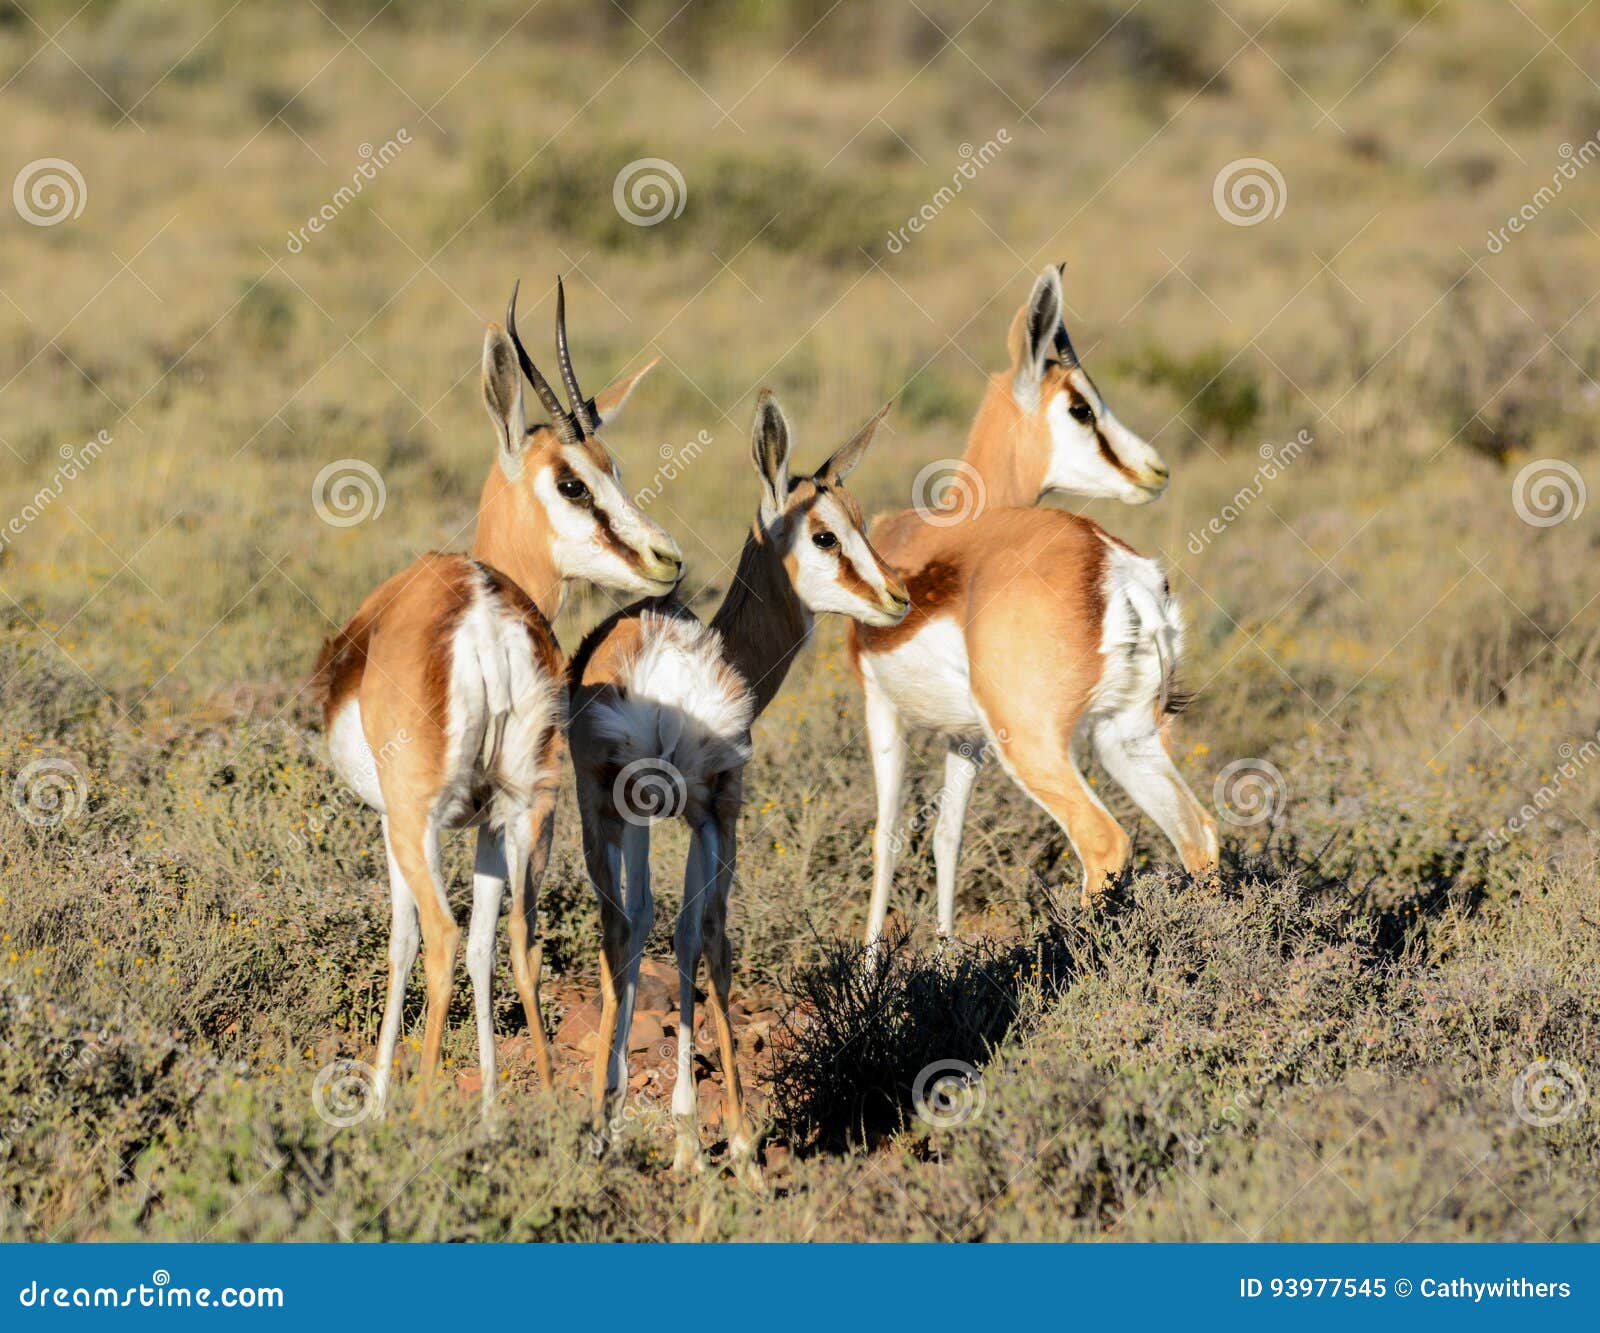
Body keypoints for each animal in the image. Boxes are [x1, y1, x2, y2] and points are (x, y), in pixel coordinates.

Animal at [313, 279, 683, 1111]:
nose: (665, 555)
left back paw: (418, 1109)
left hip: (426, 816)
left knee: (444, 937)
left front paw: (380, 1098)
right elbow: (489, 943)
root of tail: (481, 611)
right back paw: (543, 1100)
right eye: (576, 479)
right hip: (529, 801)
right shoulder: (488, 818)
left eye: (607, 468)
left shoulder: (395, 818)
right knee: (519, 938)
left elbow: (406, 940)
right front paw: (486, 1105)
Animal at [568, 391, 909, 1181]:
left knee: (616, 925)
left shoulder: (643, 816)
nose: (898, 597)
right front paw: (696, 1138)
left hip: (601, 807)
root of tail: (658, 664)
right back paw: (745, 1146)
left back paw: (596, 1131)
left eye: (861, 519)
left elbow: (646, 921)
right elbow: (690, 934)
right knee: (713, 937)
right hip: (715, 811)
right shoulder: (708, 808)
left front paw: (640, 1114)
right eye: (824, 535)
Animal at [848, 264, 1219, 954]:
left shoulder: (882, 706)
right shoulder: (966, 736)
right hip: (1125, 737)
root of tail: (1116, 566)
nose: (1154, 470)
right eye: (1081, 406)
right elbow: (947, 837)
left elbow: (887, 838)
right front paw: (943, 959)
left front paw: (872, 968)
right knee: (1198, 835)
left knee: (1104, 843)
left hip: (1035, 744)